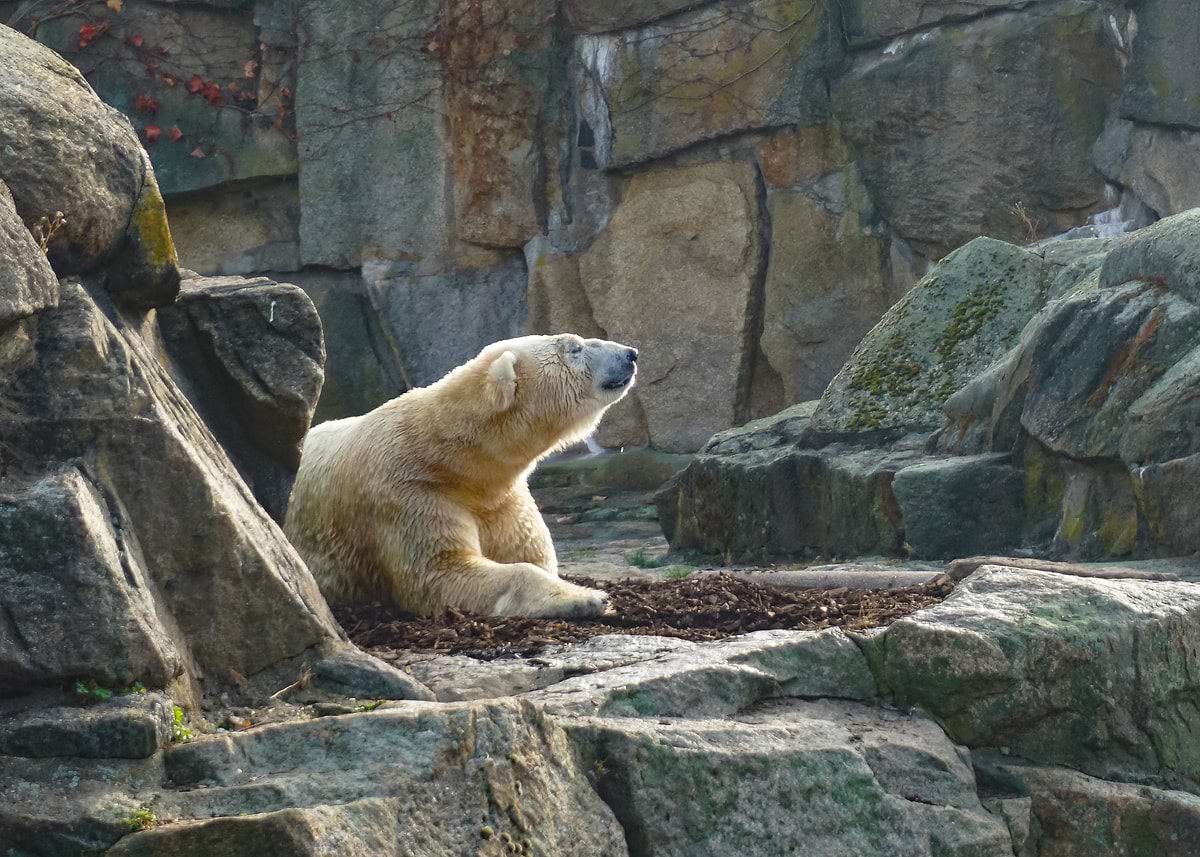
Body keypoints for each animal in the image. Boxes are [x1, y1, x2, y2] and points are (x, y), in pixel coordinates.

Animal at [283, 334, 638, 618]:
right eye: (574, 347)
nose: (630, 353)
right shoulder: (410, 494)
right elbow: (442, 569)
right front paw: (589, 597)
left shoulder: (503, 501)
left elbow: (532, 553)